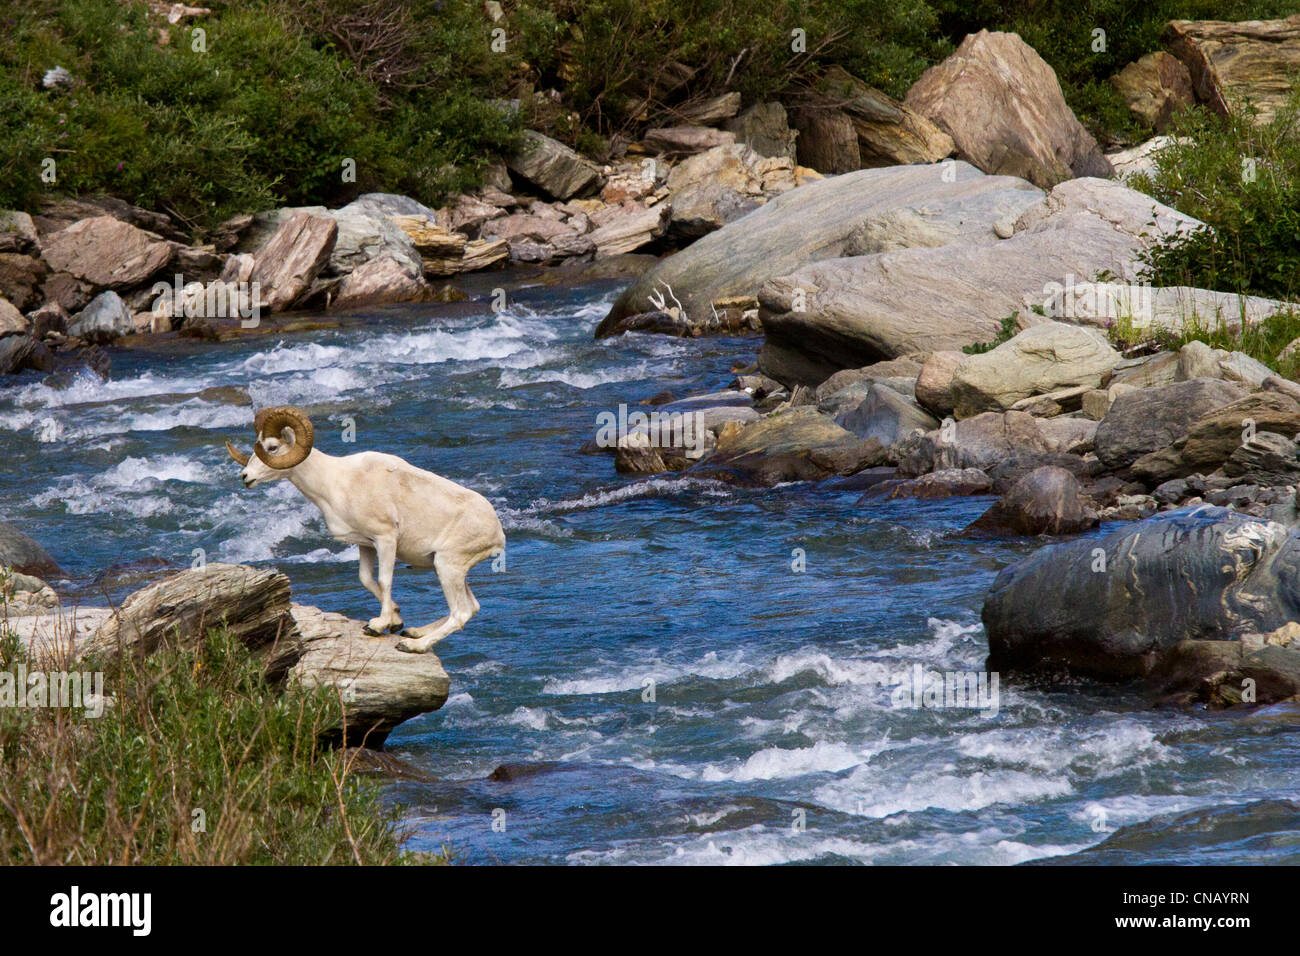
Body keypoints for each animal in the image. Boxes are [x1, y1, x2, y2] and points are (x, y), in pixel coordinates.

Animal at [225, 406, 505, 653]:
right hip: (449, 569)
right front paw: (396, 620)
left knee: (461, 612)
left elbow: (384, 579)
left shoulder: (386, 539)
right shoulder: (365, 544)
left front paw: (378, 626)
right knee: (473, 606)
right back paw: (413, 632)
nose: (245, 477)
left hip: (447, 566)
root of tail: (497, 533)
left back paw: (412, 646)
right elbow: (366, 579)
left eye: (272, 447)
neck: (335, 483)